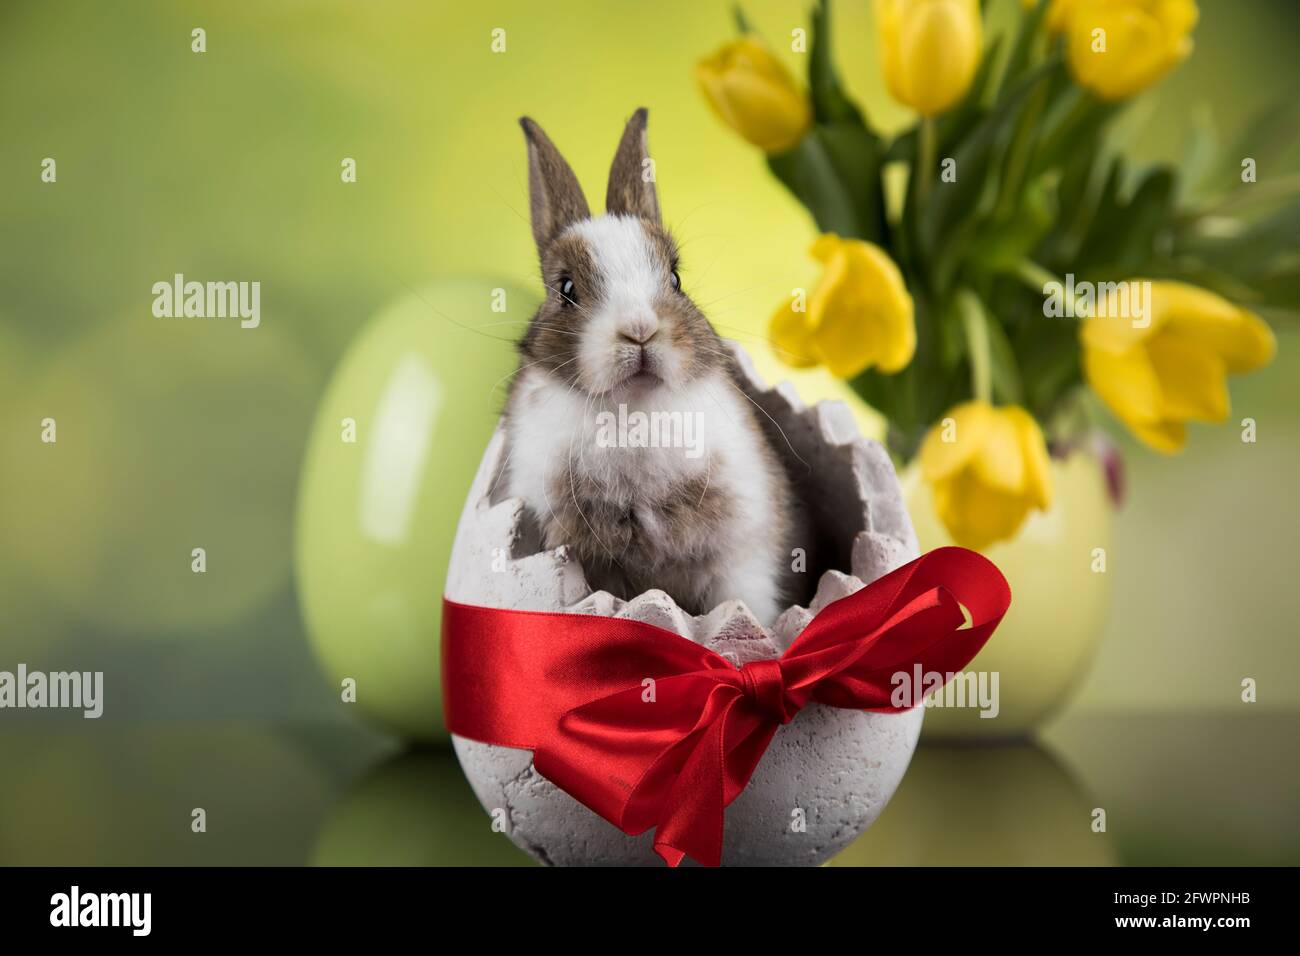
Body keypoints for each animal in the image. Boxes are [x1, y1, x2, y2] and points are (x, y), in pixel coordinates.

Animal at [502, 108, 805, 626]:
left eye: (676, 278)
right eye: (566, 289)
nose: (640, 330)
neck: (634, 413)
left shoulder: (744, 560)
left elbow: (740, 606)